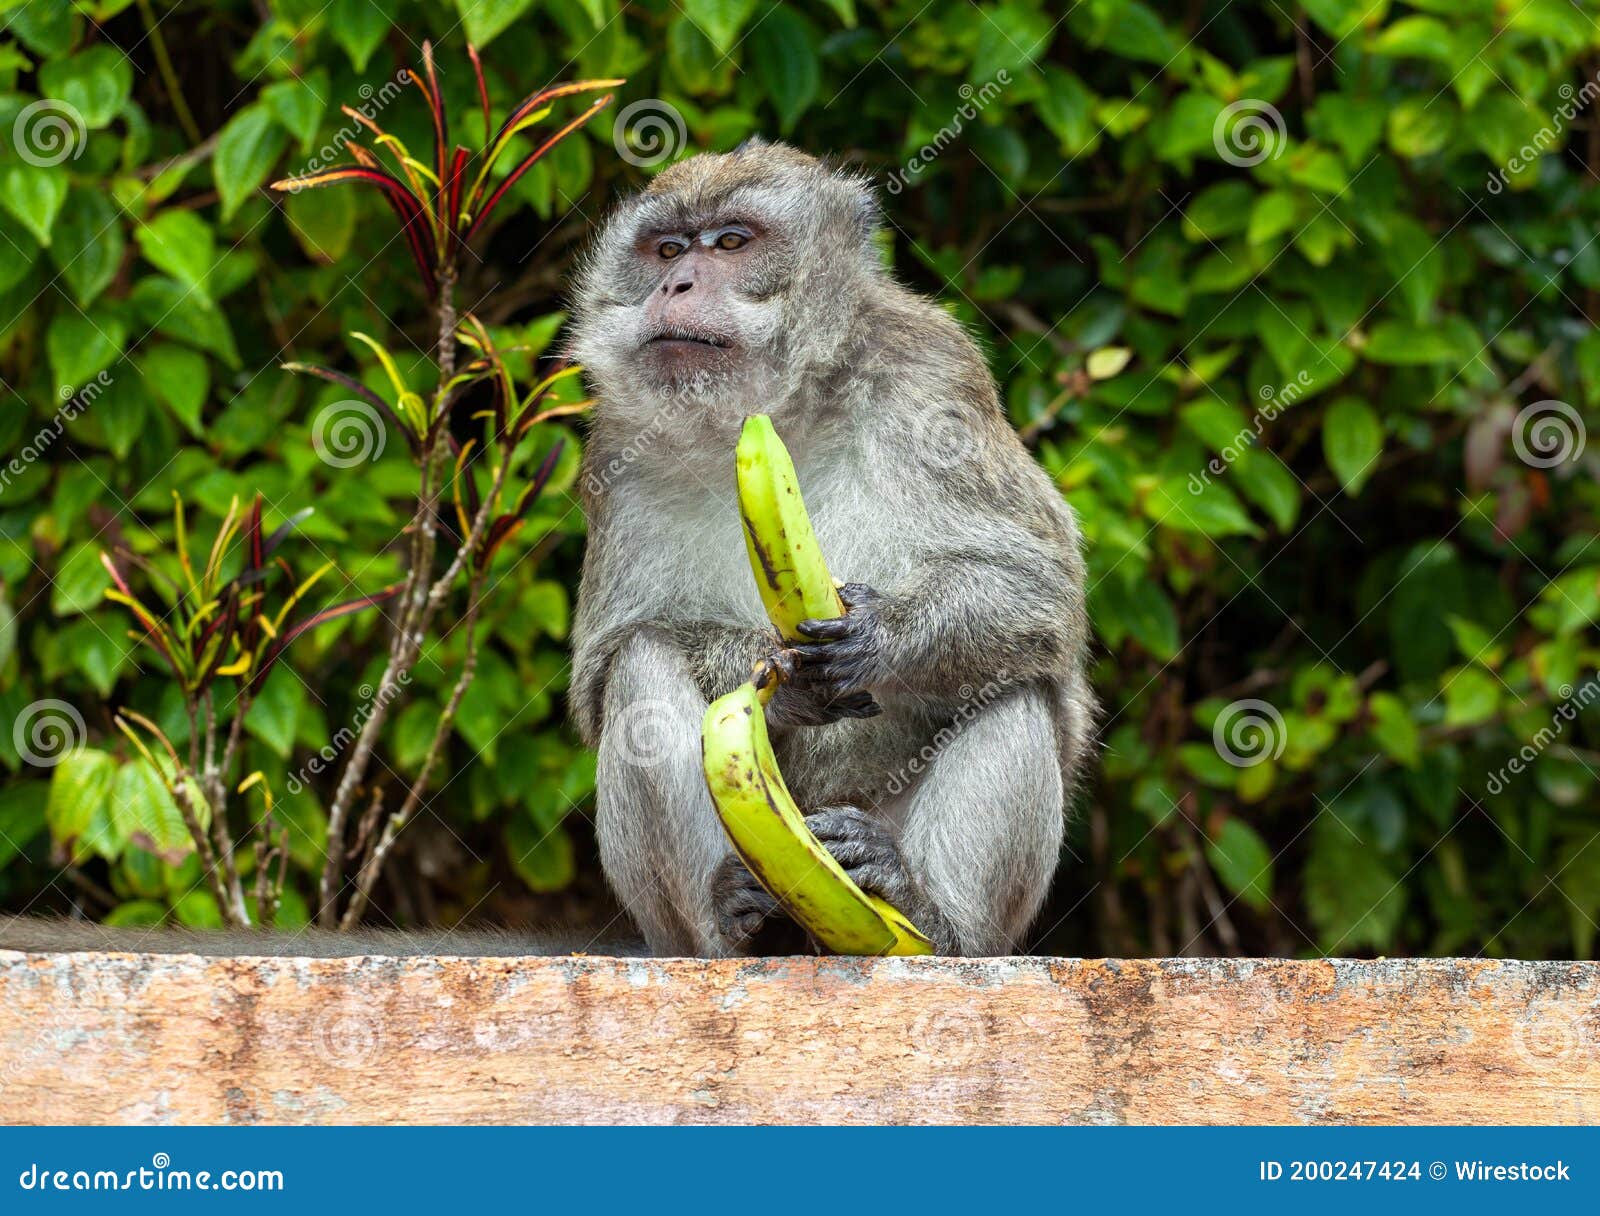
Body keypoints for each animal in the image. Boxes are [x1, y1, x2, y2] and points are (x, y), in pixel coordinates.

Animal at [566, 139, 1094, 959]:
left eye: (732, 243)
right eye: (667, 249)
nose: (676, 283)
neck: (774, 409)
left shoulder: (931, 372)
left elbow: (1036, 583)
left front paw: (880, 637)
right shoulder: (616, 452)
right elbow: (603, 666)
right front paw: (781, 676)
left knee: (1014, 680)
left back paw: (927, 913)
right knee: (642, 660)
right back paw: (732, 922)